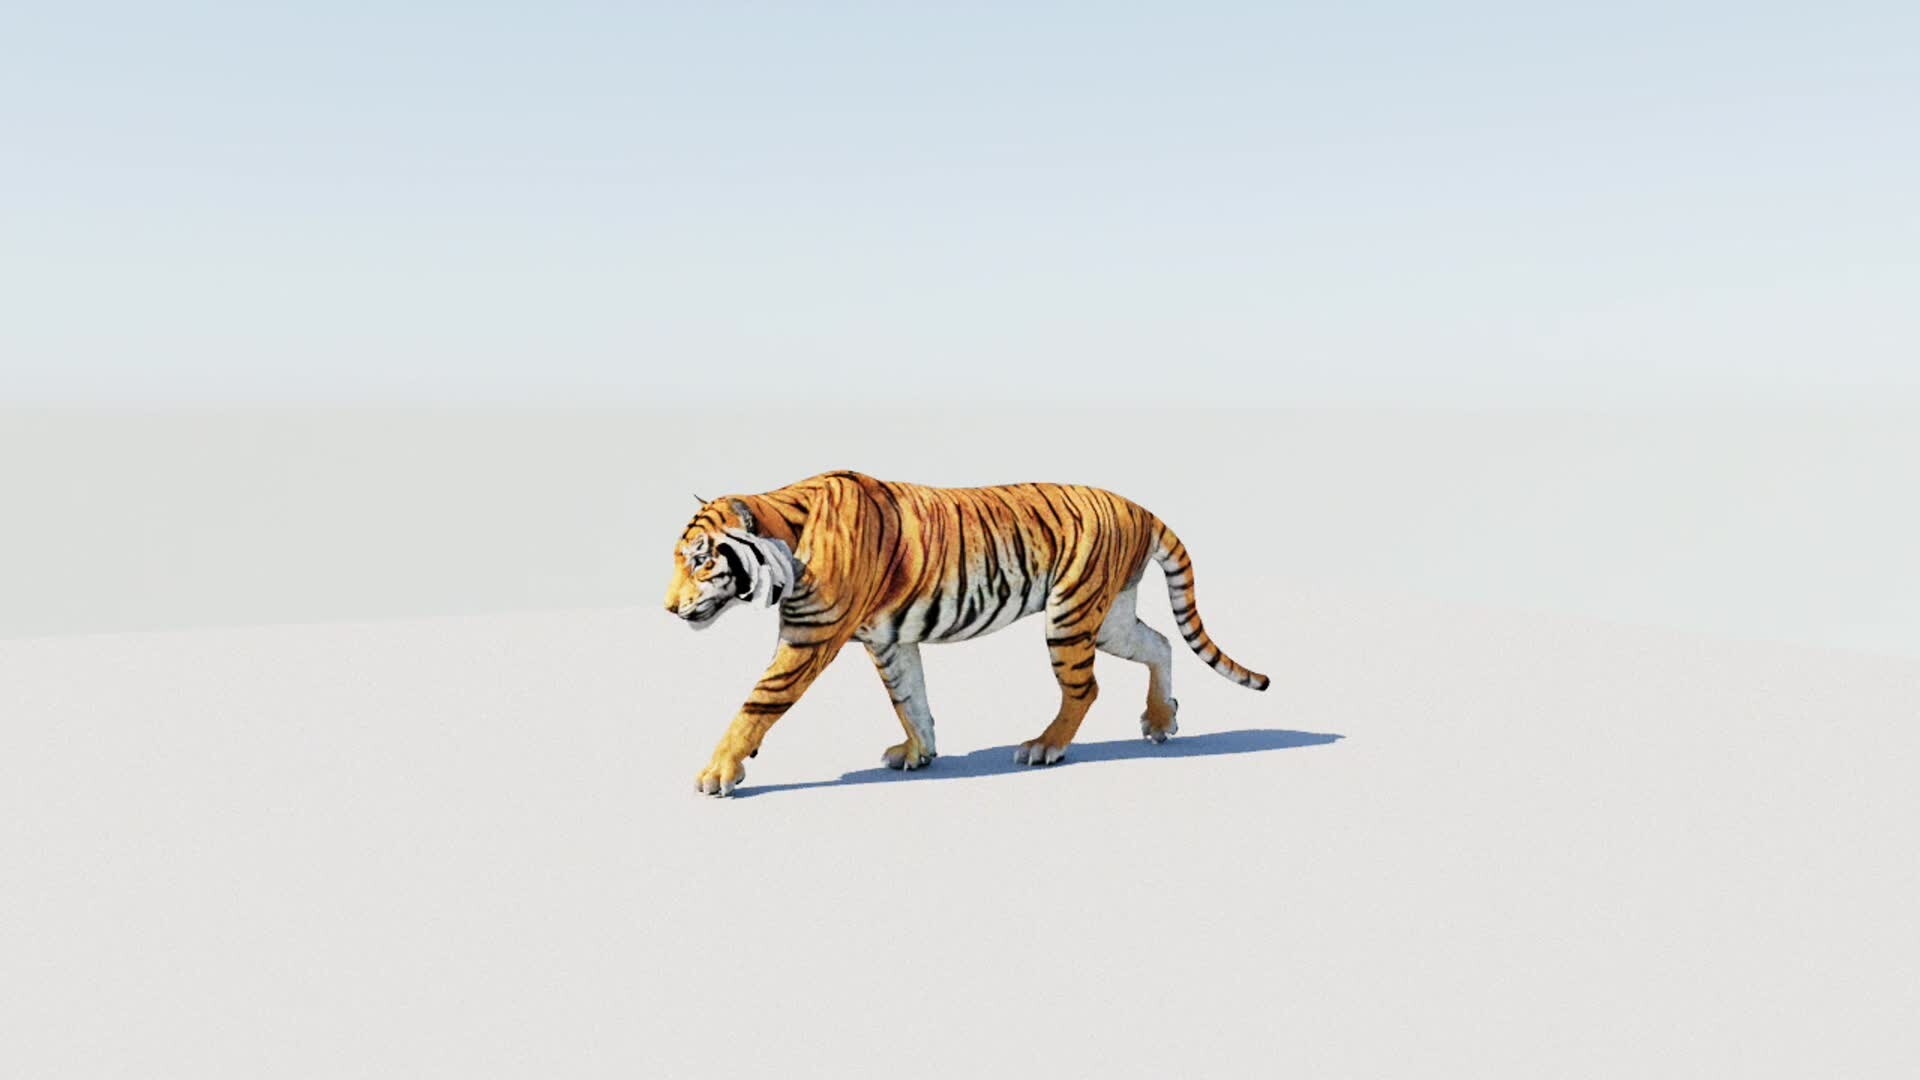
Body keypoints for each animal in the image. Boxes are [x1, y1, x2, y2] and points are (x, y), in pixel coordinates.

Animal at [664, 470, 1270, 796]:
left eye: (700, 560)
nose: (668, 608)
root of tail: (1142, 509)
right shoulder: (890, 640)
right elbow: (910, 699)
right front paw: (919, 752)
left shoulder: (810, 637)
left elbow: (756, 705)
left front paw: (717, 772)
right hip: (1110, 617)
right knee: (1160, 644)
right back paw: (1161, 720)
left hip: (1071, 614)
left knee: (1085, 688)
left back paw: (1046, 746)